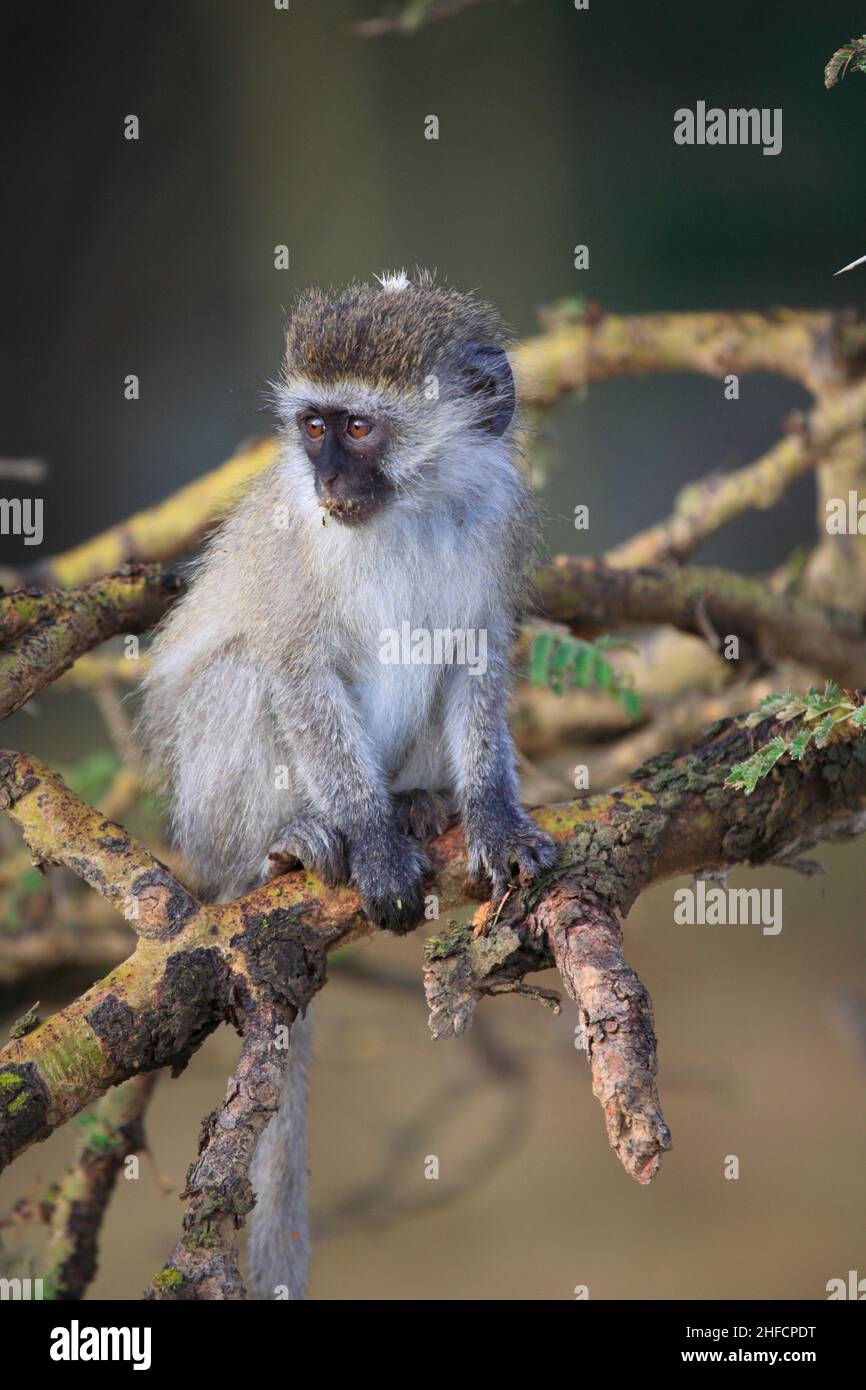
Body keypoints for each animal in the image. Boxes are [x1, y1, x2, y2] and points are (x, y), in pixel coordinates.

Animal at [140, 268, 557, 1298]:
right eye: (315, 427)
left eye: (361, 430)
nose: (329, 483)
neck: (411, 508)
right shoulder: (301, 547)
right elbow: (296, 664)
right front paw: (370, 840)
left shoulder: (496, 520)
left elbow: (474, 657)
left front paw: (494, 816)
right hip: (211, 817)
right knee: (246, 674)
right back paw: (291, 846)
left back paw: (422, 803)